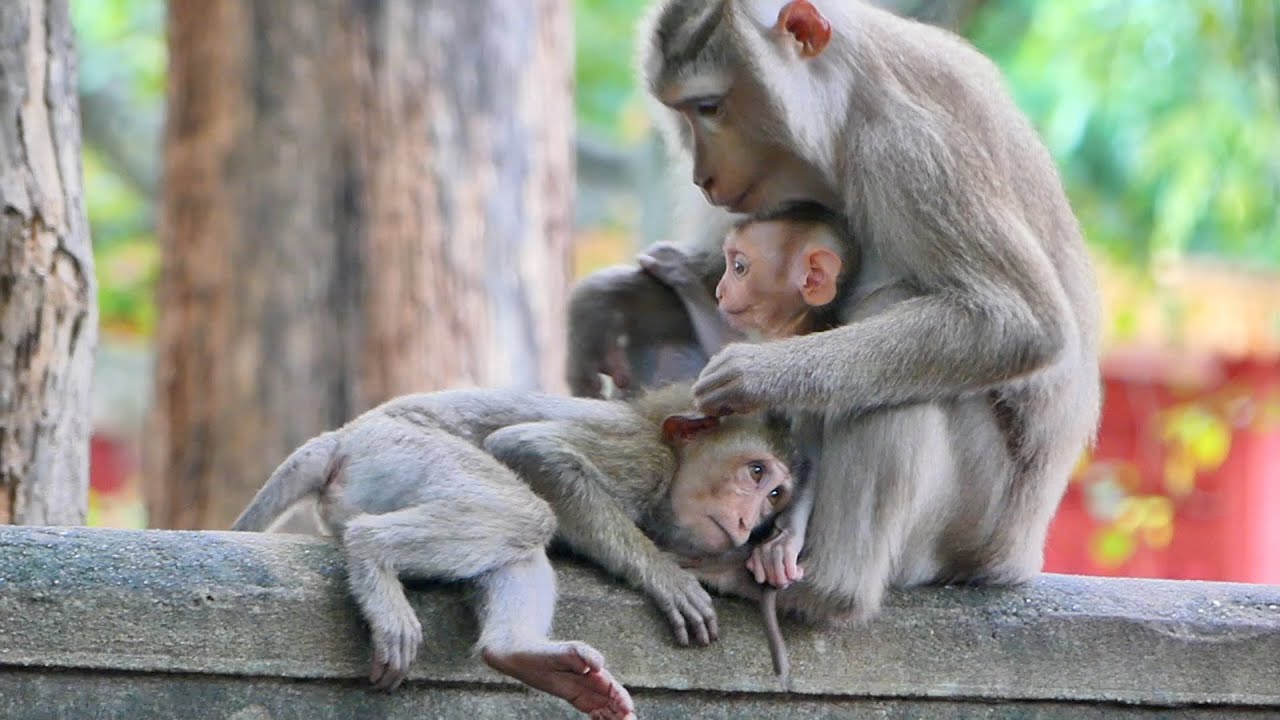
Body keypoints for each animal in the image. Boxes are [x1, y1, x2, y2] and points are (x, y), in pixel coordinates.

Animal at [231, 382, 795, 715]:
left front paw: (760, 566)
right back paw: (371, 551)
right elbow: (528, 447)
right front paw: (663, 576)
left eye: (774, 496)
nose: (749, 523)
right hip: (400, 451)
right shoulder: (639, 459)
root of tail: (342, 436)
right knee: (526, 511)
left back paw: (518, 652)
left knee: (518, 544)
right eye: (756, 472)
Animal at [566, 0, 1101, 626]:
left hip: (971, 525)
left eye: (710, 107)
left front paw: (760, 373)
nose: (702, 175)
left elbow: (1021, 323)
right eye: (682, 112)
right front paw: (609, 299)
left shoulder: (908, 149)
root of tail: (1019, 555)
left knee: (893, 372)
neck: (847, 109)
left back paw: (825, 589)